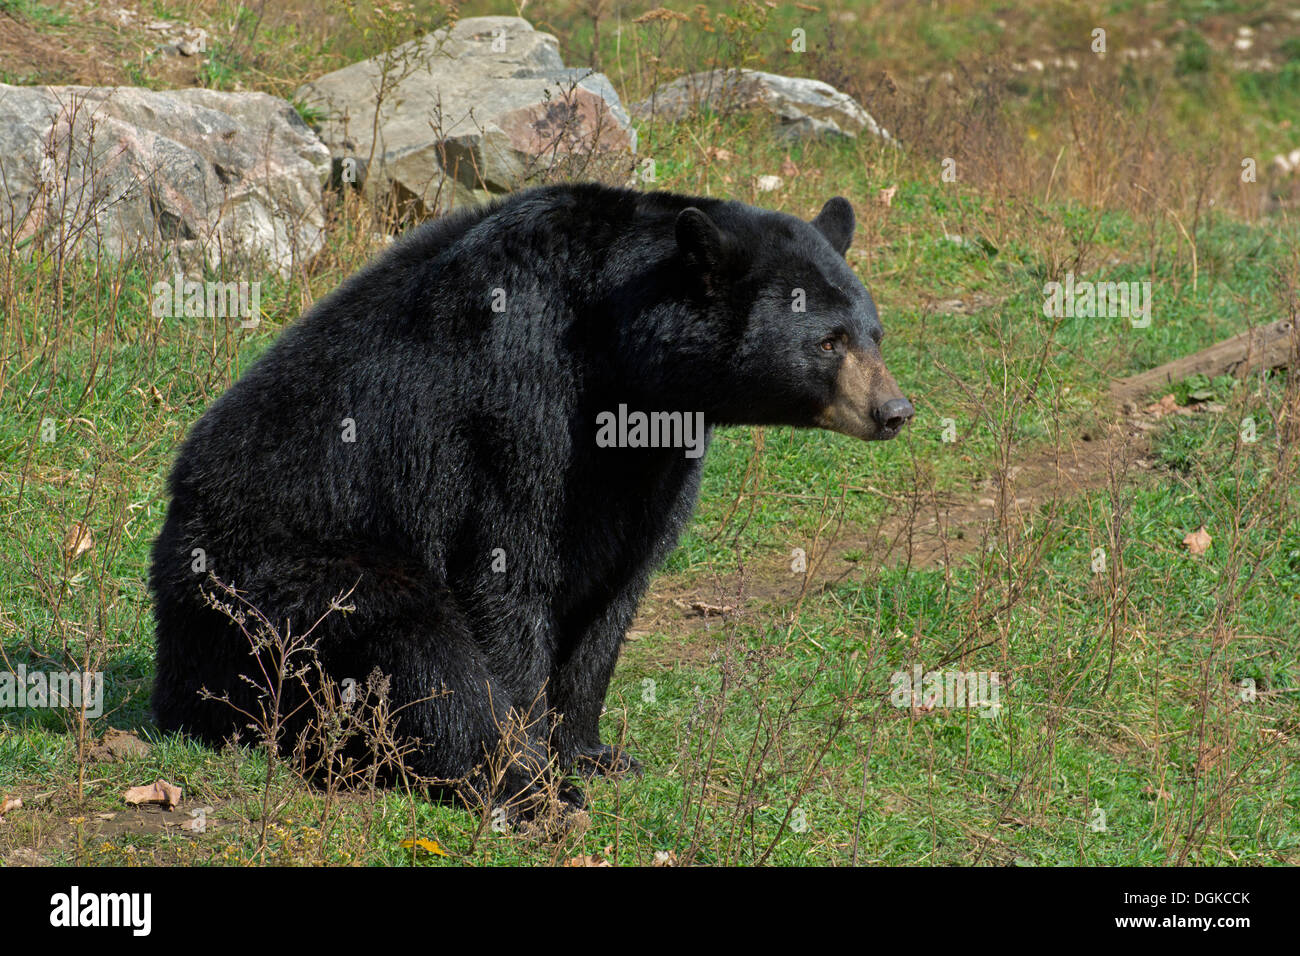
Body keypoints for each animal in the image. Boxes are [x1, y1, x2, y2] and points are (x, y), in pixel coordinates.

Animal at [149, 182, 913, 813]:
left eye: (875, 333)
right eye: (829, 340)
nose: (894, 411)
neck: (622, 363)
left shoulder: (654, 460)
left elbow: (615, 592)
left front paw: (595, 753)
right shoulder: (520, 398)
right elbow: (510, 571)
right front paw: (540, 769)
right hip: (277, 588)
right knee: (417, 642)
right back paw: (514, 791)